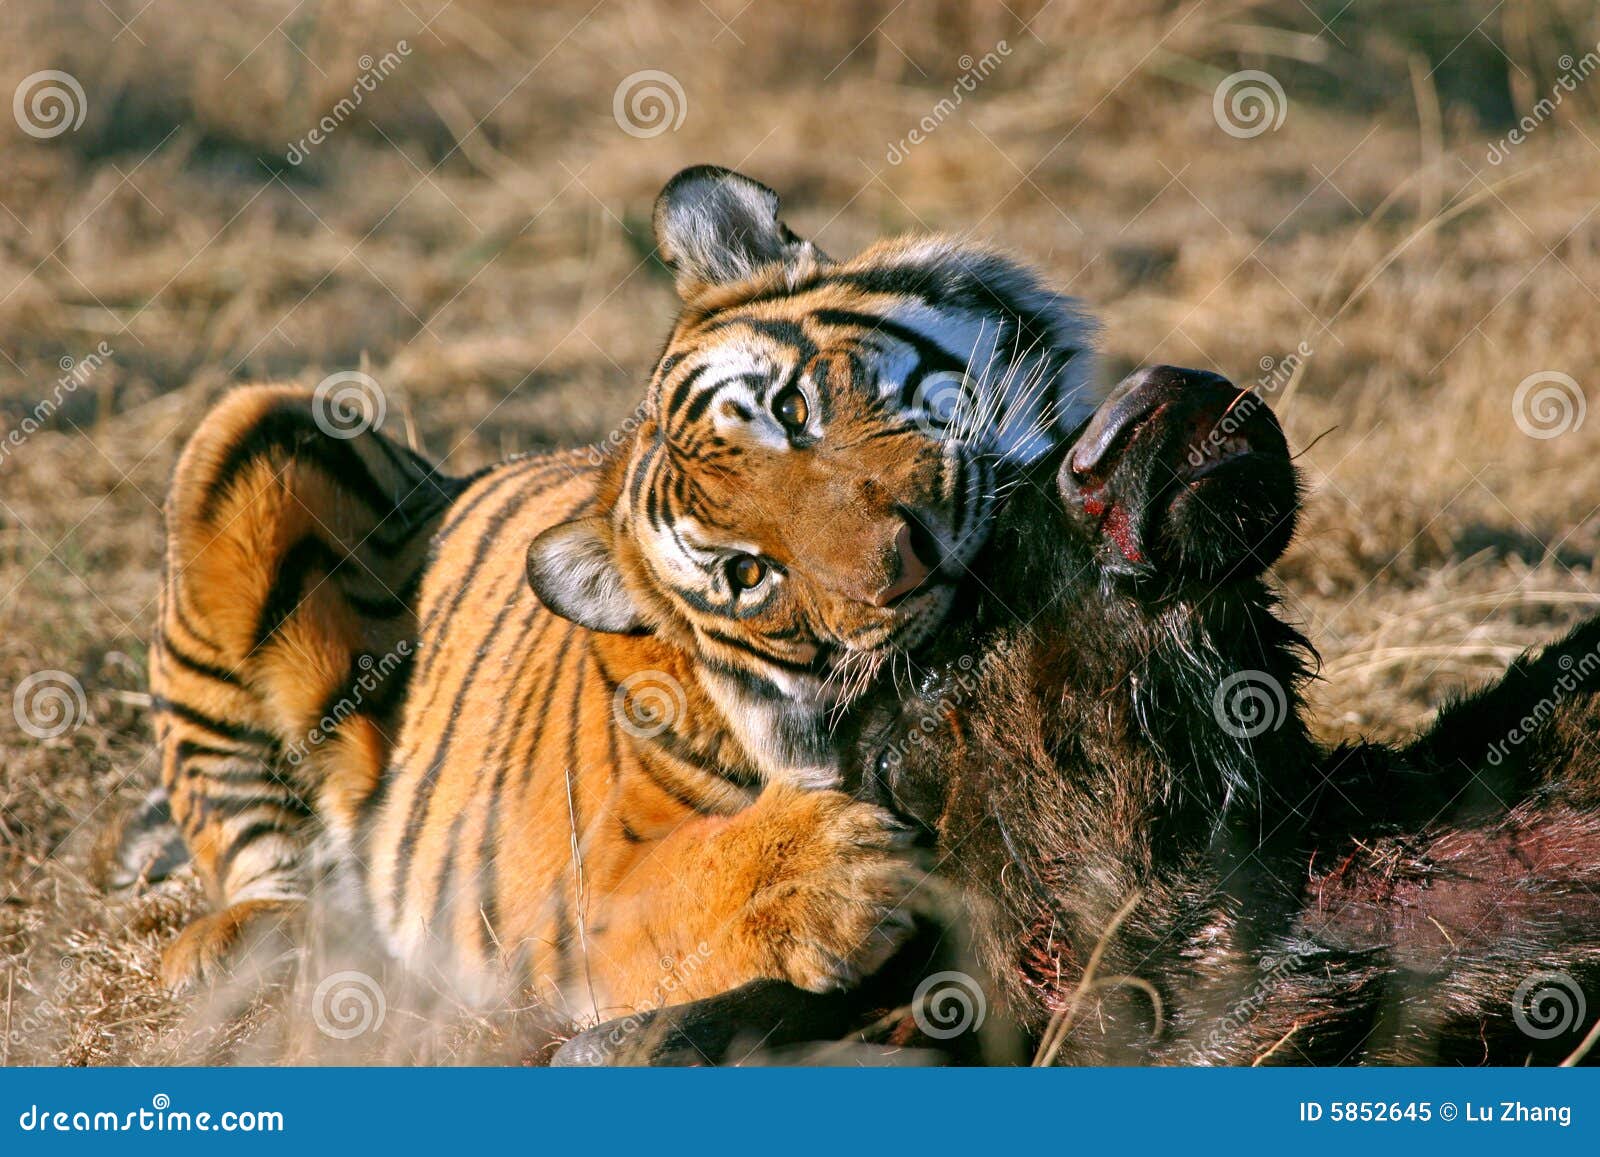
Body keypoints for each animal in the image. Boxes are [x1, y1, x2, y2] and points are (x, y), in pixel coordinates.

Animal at [130, 165, 1100, 1019]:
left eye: (790, 409)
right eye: (747, 572)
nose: (905, 558)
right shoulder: (565, 903)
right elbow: (678, 884)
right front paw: (831, 869)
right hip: (247, 430)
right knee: (250, 827)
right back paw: (235, 942)